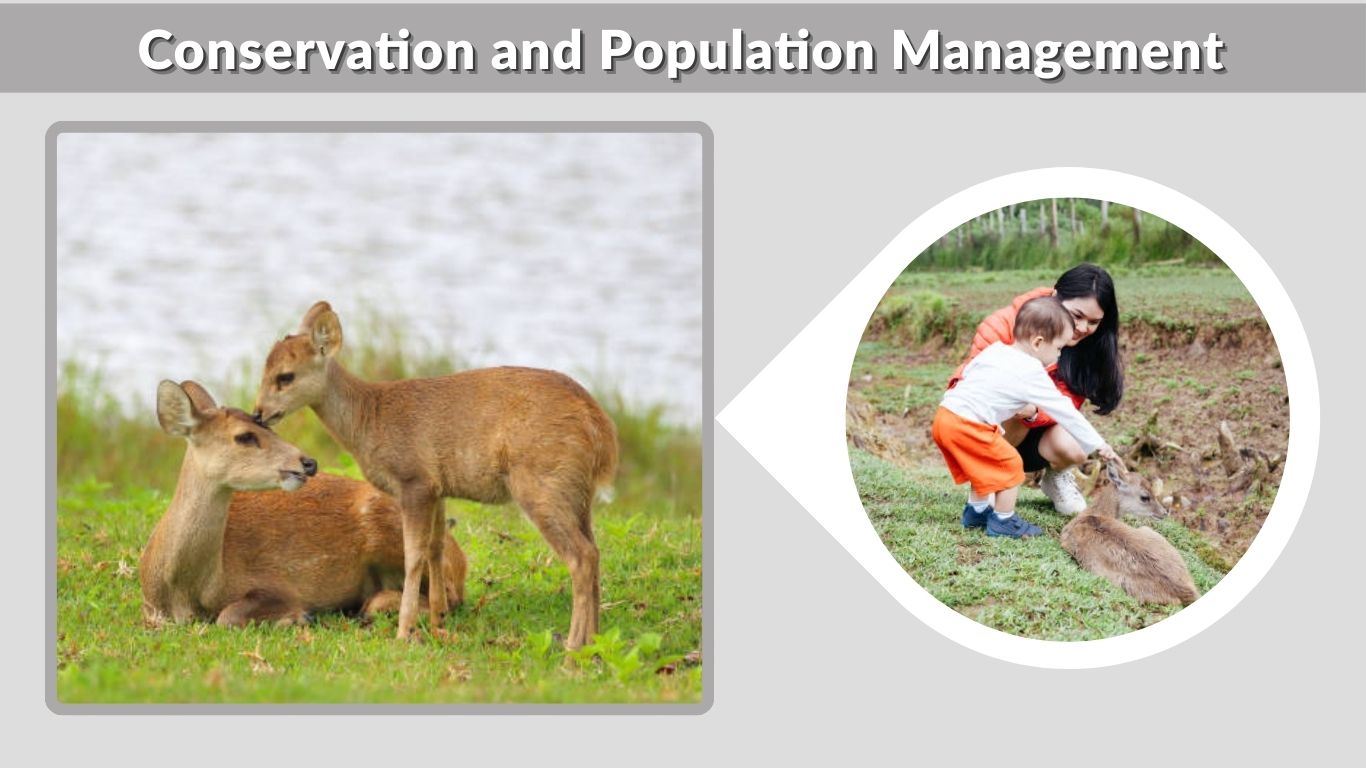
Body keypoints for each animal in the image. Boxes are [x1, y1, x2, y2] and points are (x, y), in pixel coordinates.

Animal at [140, 379, 467, 628]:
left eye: (269, 426)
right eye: (244, 436)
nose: (308, 463)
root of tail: (460, 556)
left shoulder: (278, 585)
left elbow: (228, 616)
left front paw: (297, 617)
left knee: (447, 597)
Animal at [252, 301, 618, 649]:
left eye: (285, 376)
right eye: (265, 369)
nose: (257, 413)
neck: (369, 418)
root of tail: (600, 428)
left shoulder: (414, 482)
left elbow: (413, 555)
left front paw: (405, 632)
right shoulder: (438, 489)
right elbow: (435, 547)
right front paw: (438, 620)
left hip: (541, 485)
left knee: (581, 556)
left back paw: (572, 646)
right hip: (576, 493)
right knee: (595, 550)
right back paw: (593, 640)